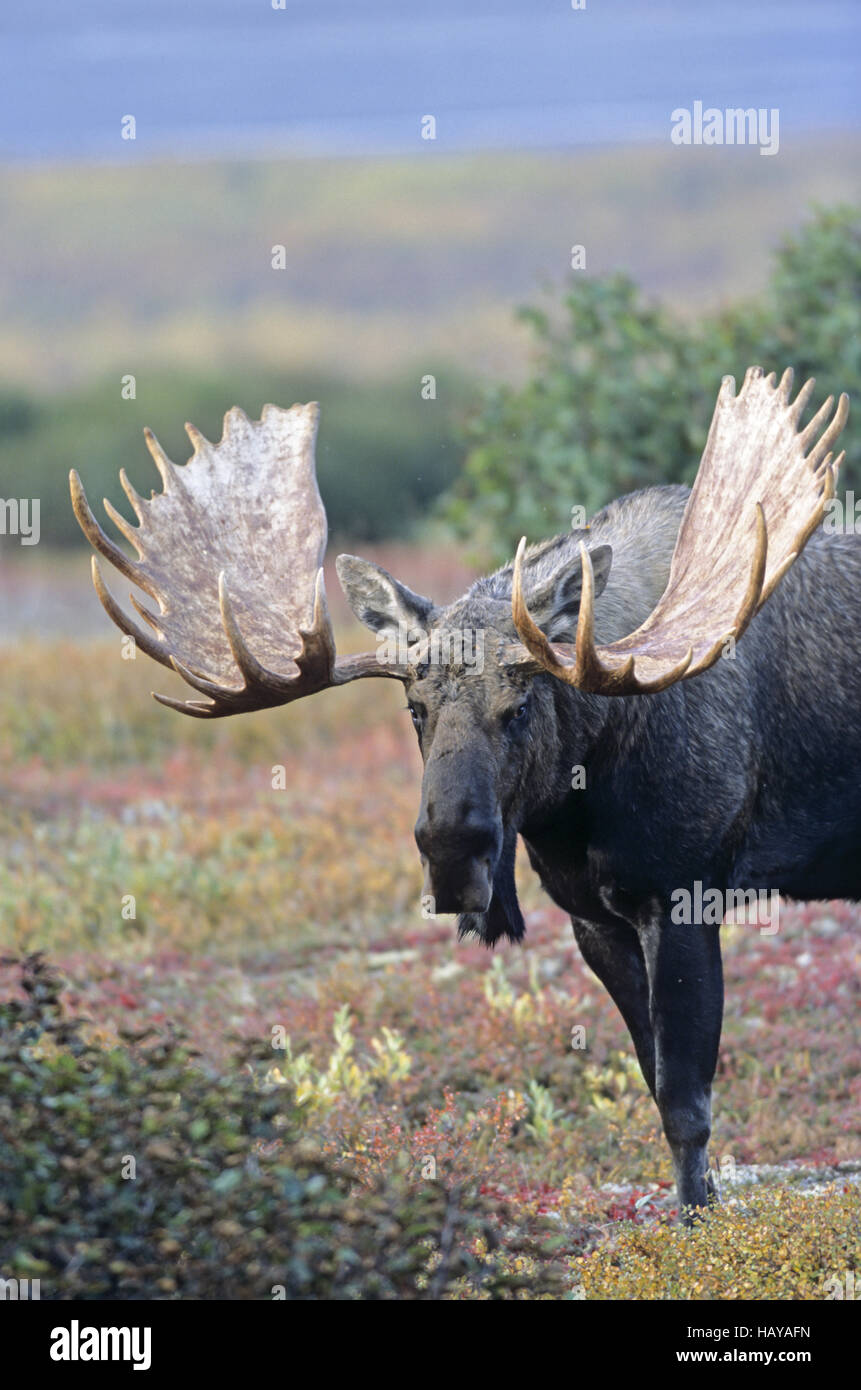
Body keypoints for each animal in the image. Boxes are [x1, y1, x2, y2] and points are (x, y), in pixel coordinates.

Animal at [70, 366, 855, 1216]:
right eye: (413, 708)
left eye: (520, 706)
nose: (452, 854)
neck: (583, 796)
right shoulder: (592, 915)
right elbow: (652, 1082)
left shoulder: (680, 891)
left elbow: (686, 1099)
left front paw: (697, 1217)